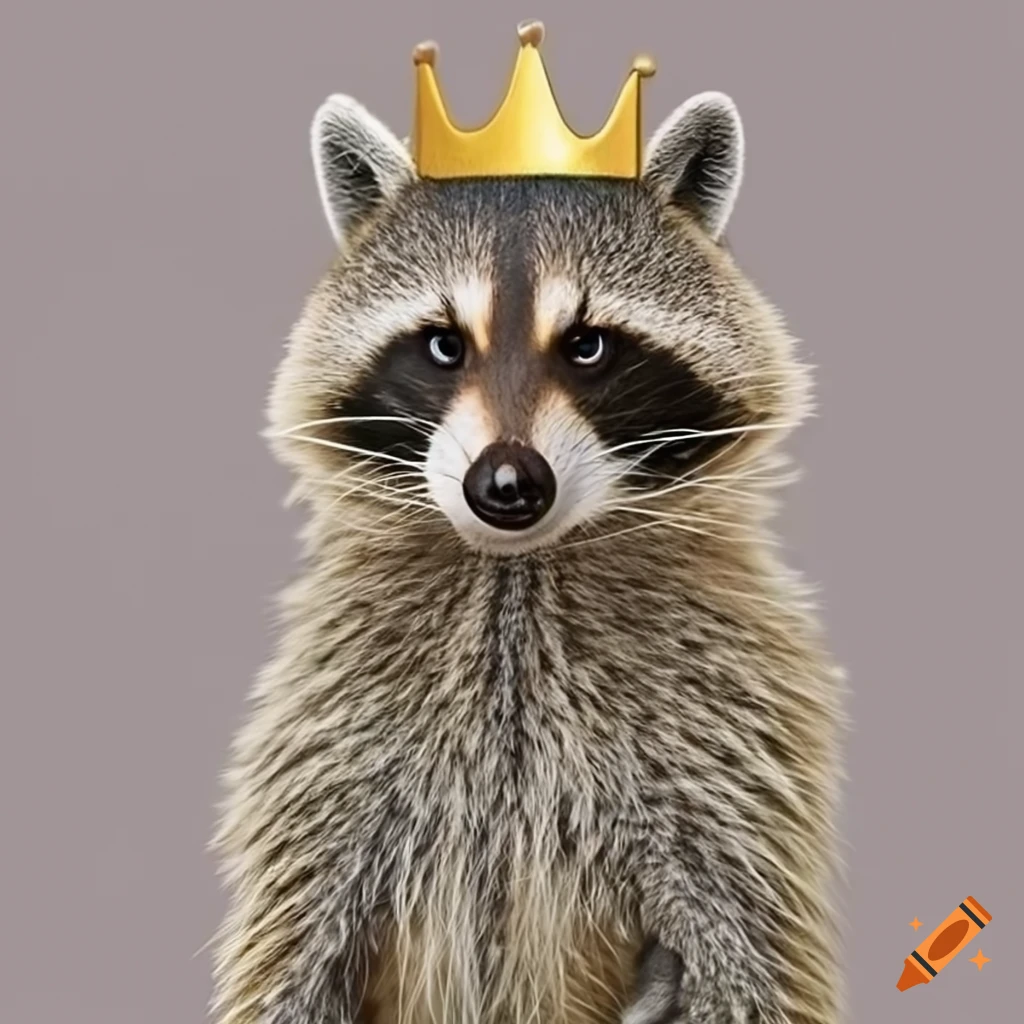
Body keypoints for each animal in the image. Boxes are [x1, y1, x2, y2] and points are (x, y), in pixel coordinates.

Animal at [209, 84, 845, 1024]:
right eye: (443, 344)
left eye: (587, 345)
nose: (506, 486)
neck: (517, 570)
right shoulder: (336, 743)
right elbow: (292, 952)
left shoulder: (723, 738)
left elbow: (748, 957)